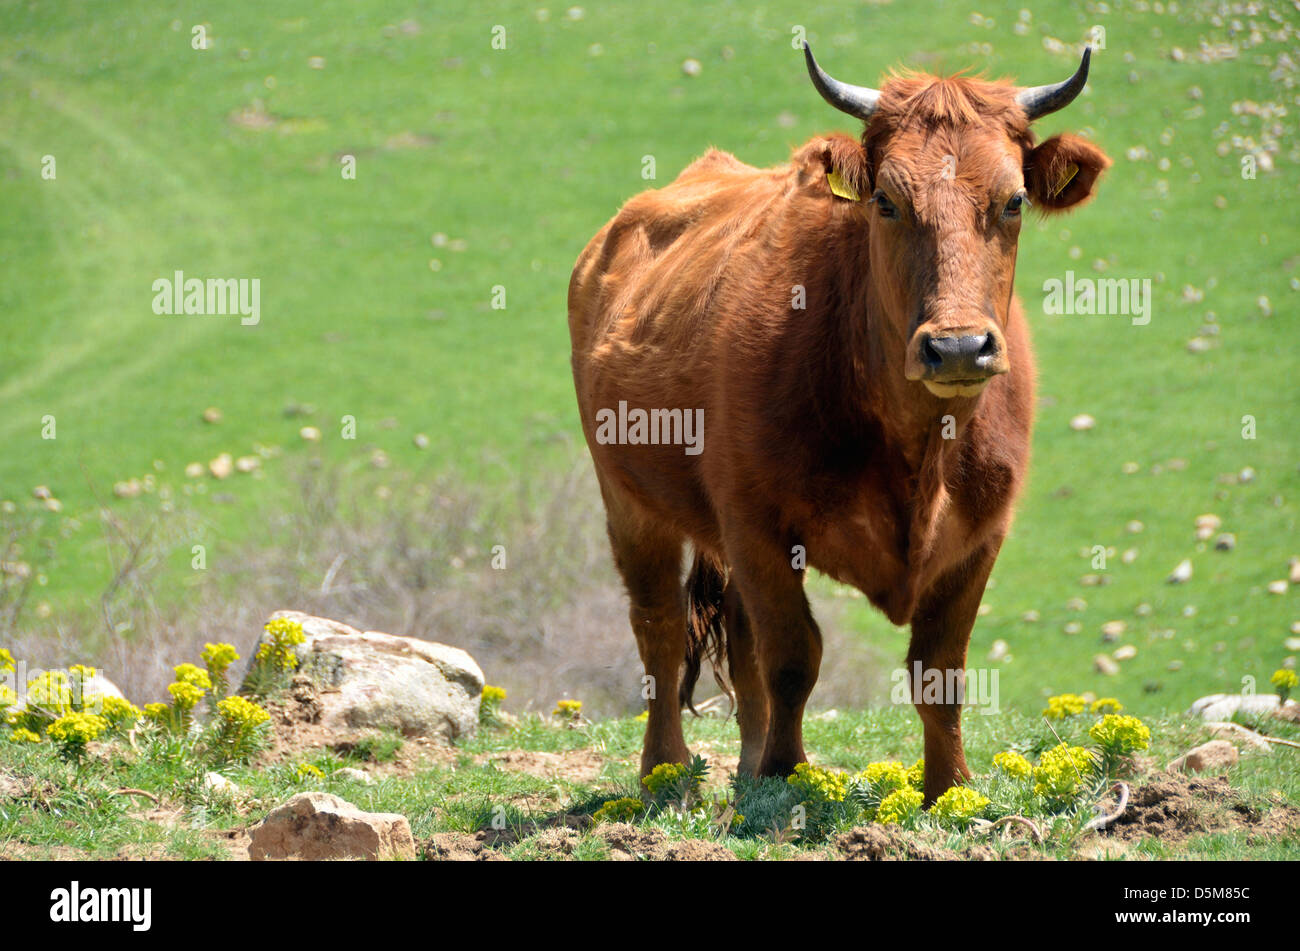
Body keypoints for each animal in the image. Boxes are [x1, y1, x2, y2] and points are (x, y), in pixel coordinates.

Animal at [567, 43, 1110, 803]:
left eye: (1013, 200)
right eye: (887, 200)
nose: (958, 347)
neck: (917, 448)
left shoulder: (979, 536)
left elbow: (939, 671)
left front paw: (949, 789)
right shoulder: (759, 526)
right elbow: (794, 656)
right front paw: (787, 778)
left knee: (737, 637)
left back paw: (746, 768)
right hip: (630, 502)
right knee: (661, 629)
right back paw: (667, 773)